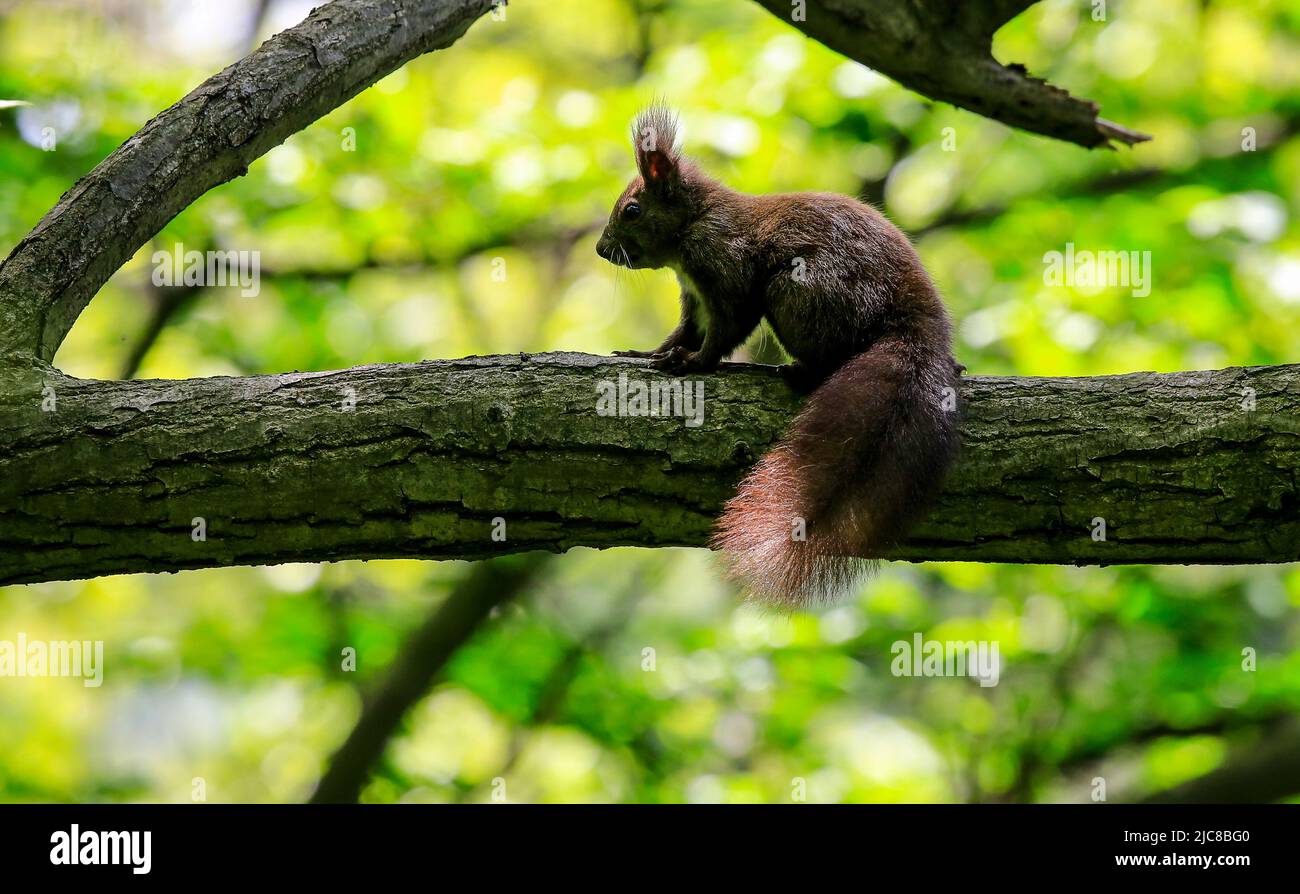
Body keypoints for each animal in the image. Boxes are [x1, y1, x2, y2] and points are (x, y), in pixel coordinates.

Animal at [595, 106, 961, 606]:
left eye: (632, 210)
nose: (600, 249)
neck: (697, 220)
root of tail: (916, 325)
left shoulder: (727, 270)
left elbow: (725, 331)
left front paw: (694, 363)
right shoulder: (693, 297)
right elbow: (684, 331)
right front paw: (652, 350)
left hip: (800, 291)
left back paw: (802, 372)